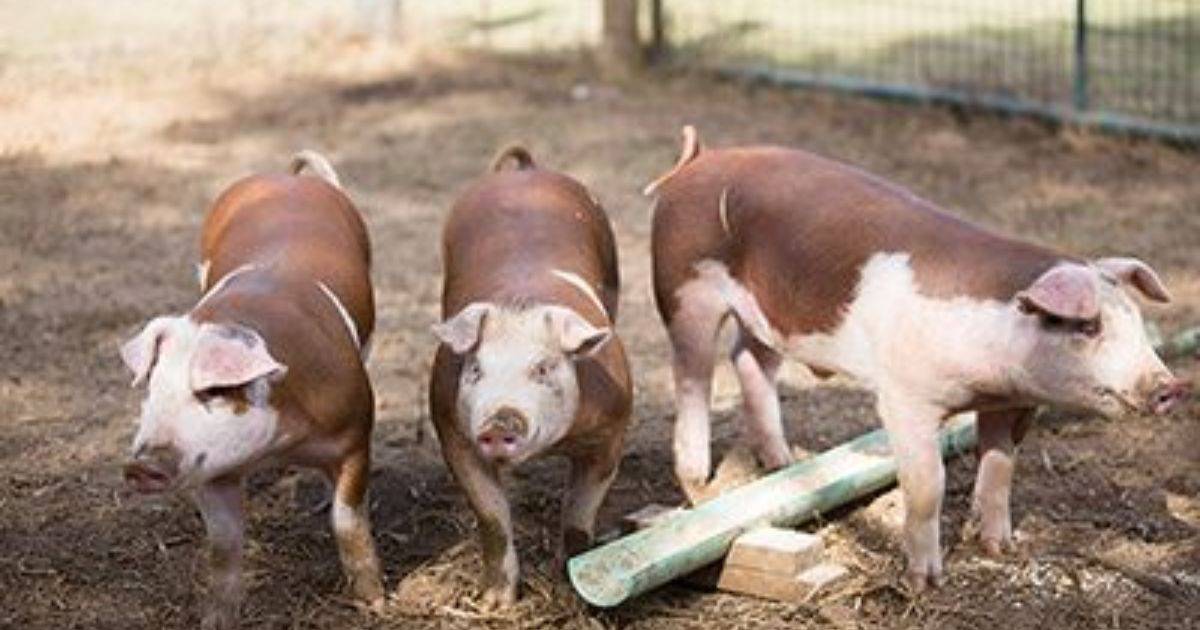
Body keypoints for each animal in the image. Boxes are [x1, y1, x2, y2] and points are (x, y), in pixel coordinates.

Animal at [120, 151, 384, 628]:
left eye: (211, 392)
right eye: (151, 388)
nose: (139, 466)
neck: (278, 444)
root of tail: (287, 178)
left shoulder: (356, 436)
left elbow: (348, 522)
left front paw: (376, 604)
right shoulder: (210, 468)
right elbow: (223, 548)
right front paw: (214, 621)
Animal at [430, 146, 632, 608]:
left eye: (543, 368)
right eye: (476, 369)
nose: (500, 420)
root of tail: (523, 171)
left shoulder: (612, 432)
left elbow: (579, 516)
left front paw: (572, 591)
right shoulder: (452, 432)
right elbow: (492, 520)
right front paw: (493, 605)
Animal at [645, 126, 1188, 590]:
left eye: (1136, 320)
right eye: (1090, 327)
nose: (1170, 386)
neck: (996, 375)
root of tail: (696, 161)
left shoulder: (1010, 404)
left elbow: (1000, 470)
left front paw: (1001, 549)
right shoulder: (905, 397)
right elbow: (928, 485)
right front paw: (924, 583)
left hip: (771, 315)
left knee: (749, 361)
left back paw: (785, 462)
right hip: (685, 291)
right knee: (692, 376)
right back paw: (698, 481)